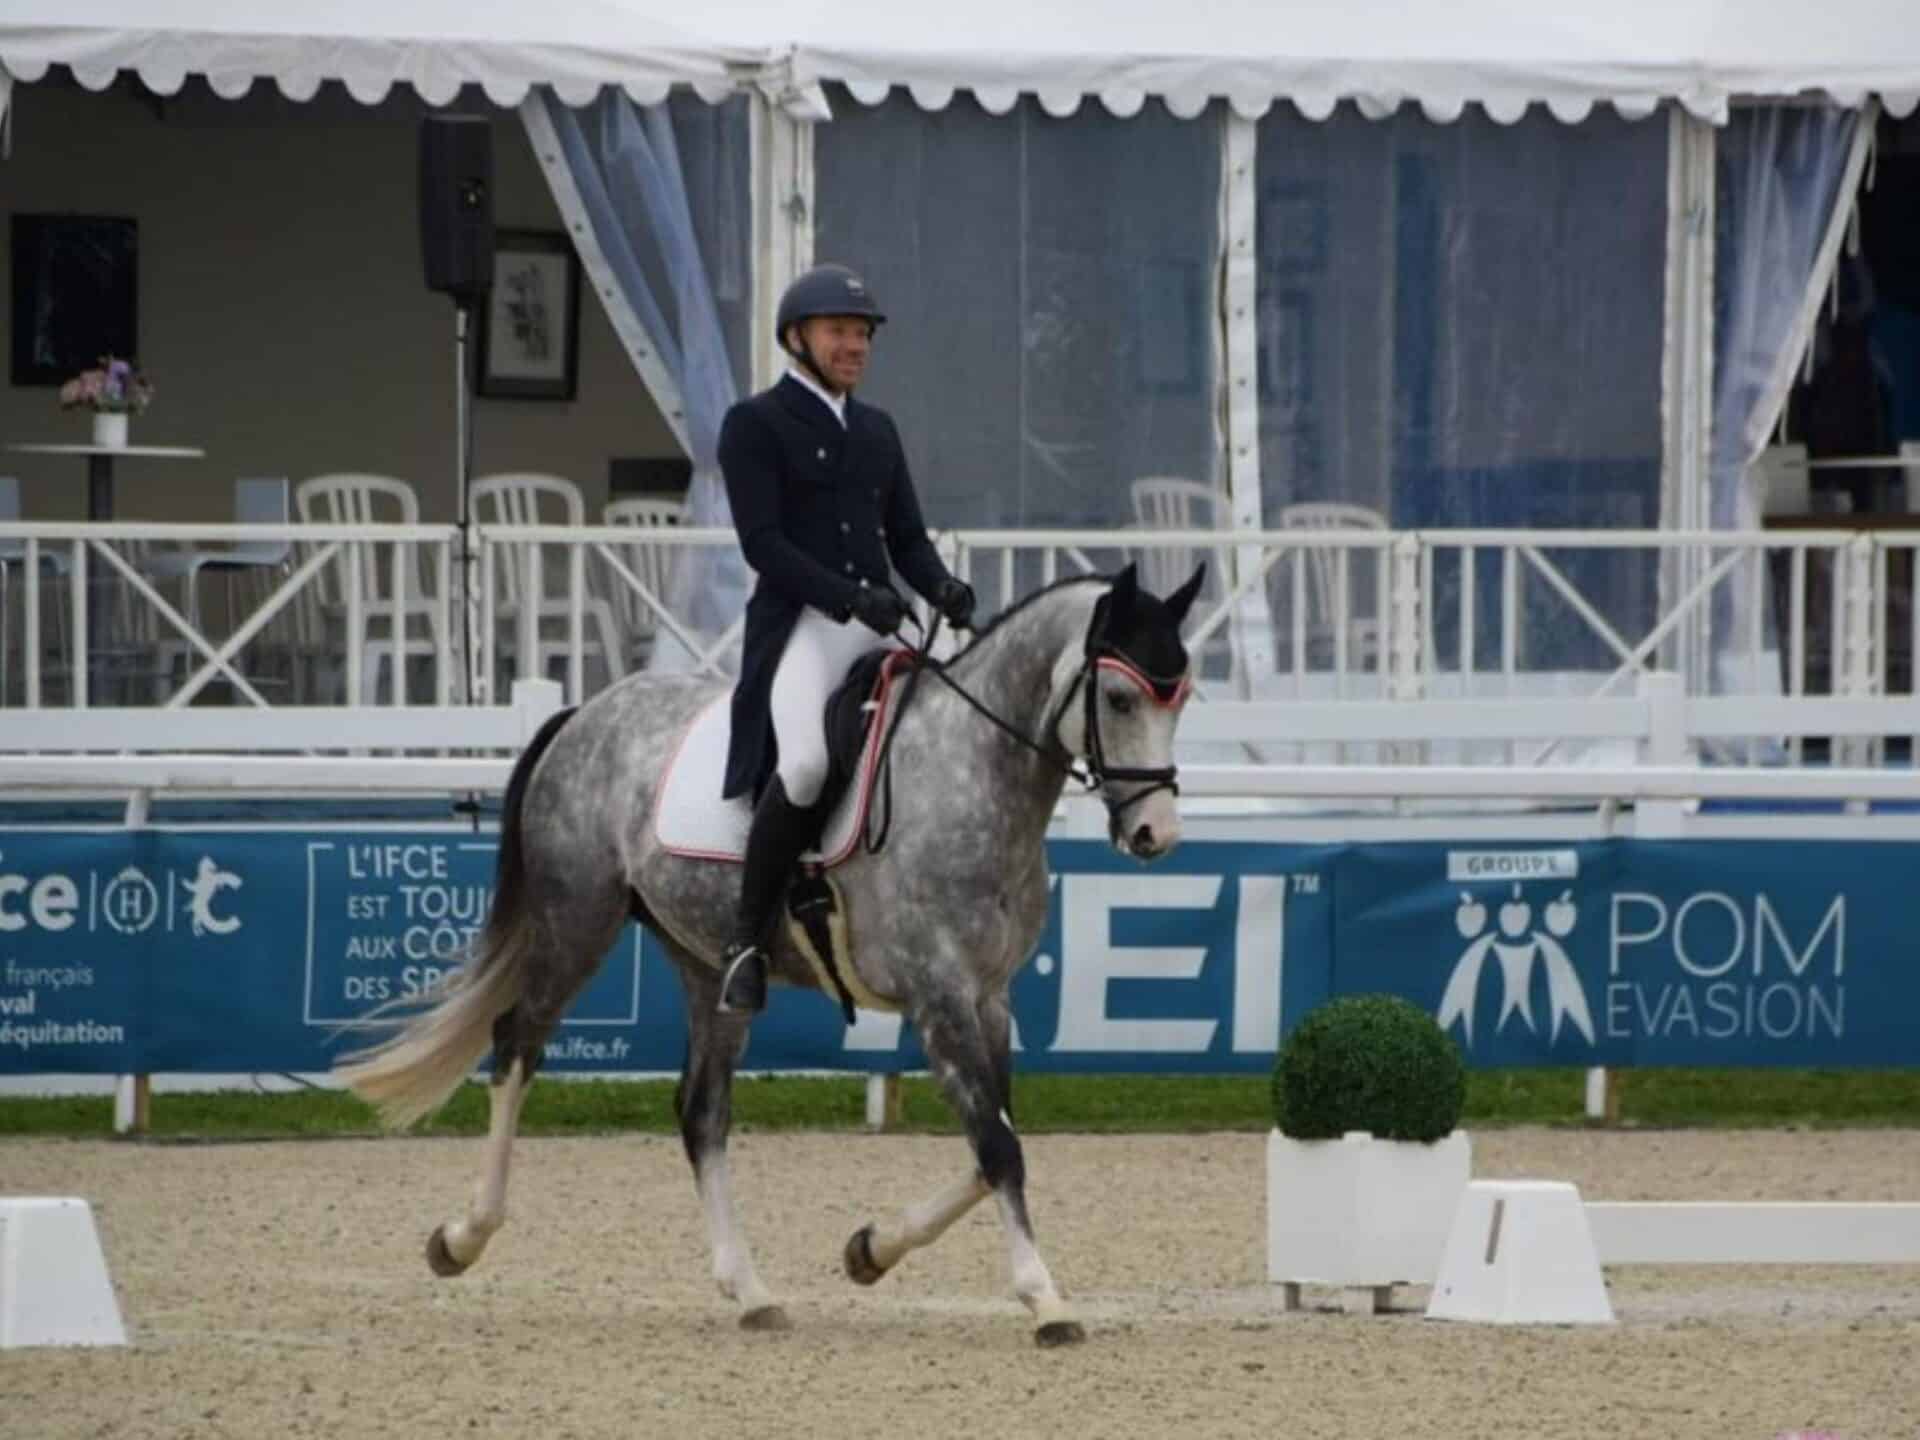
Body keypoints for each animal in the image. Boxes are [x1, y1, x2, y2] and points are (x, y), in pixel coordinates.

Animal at [336, 561, 1205, 1346]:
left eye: (1184, 697)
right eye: (1120, 698)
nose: (1155, 834)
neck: (970, 772)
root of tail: (588, 711)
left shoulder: (988, 998)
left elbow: (997, 1140)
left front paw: (870, 1251)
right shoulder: (941, 995)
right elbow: (997, 1146)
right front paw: (1044, 1298)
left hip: (706, 963)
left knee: (701, 1111)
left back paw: (750, 1291)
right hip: (574, 919)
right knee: (517, 1044)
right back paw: (463, 1238)